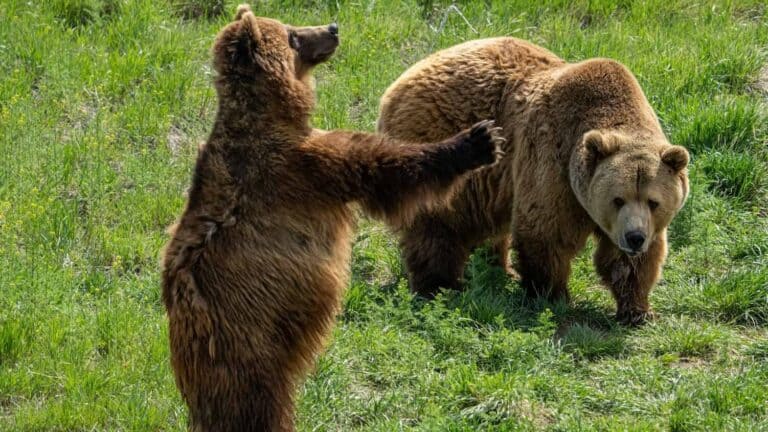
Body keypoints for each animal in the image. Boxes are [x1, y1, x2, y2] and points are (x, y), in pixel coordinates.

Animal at [161, 6, 503, 432]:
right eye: (292, 35)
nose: (332, 28)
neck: (273, 114)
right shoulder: (305, 168)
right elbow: (382, 167)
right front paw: (477, 140)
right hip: (249, 338)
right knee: (255, 401)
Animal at [377, 37, 690, 325]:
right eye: (617, 199)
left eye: (653, 201)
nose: (635, 237)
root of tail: (396, 85)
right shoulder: (553, 161)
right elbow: (545, 231)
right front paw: (552, 296)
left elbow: (630, 262)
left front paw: (638, 310)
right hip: (440, 138)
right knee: (438, 221)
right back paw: (439, 285)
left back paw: (497, 268)